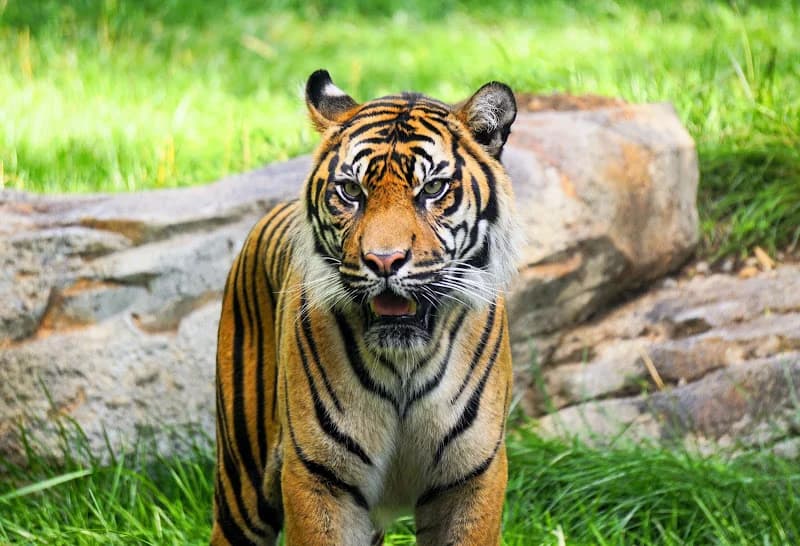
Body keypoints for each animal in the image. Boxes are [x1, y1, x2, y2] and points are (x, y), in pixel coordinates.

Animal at [211, 69, 520, 546]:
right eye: (351, 191)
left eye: (433, 188)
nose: (384, 260)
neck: (405, 363)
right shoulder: (320, 478)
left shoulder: (471, 477)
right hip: (243, 483)